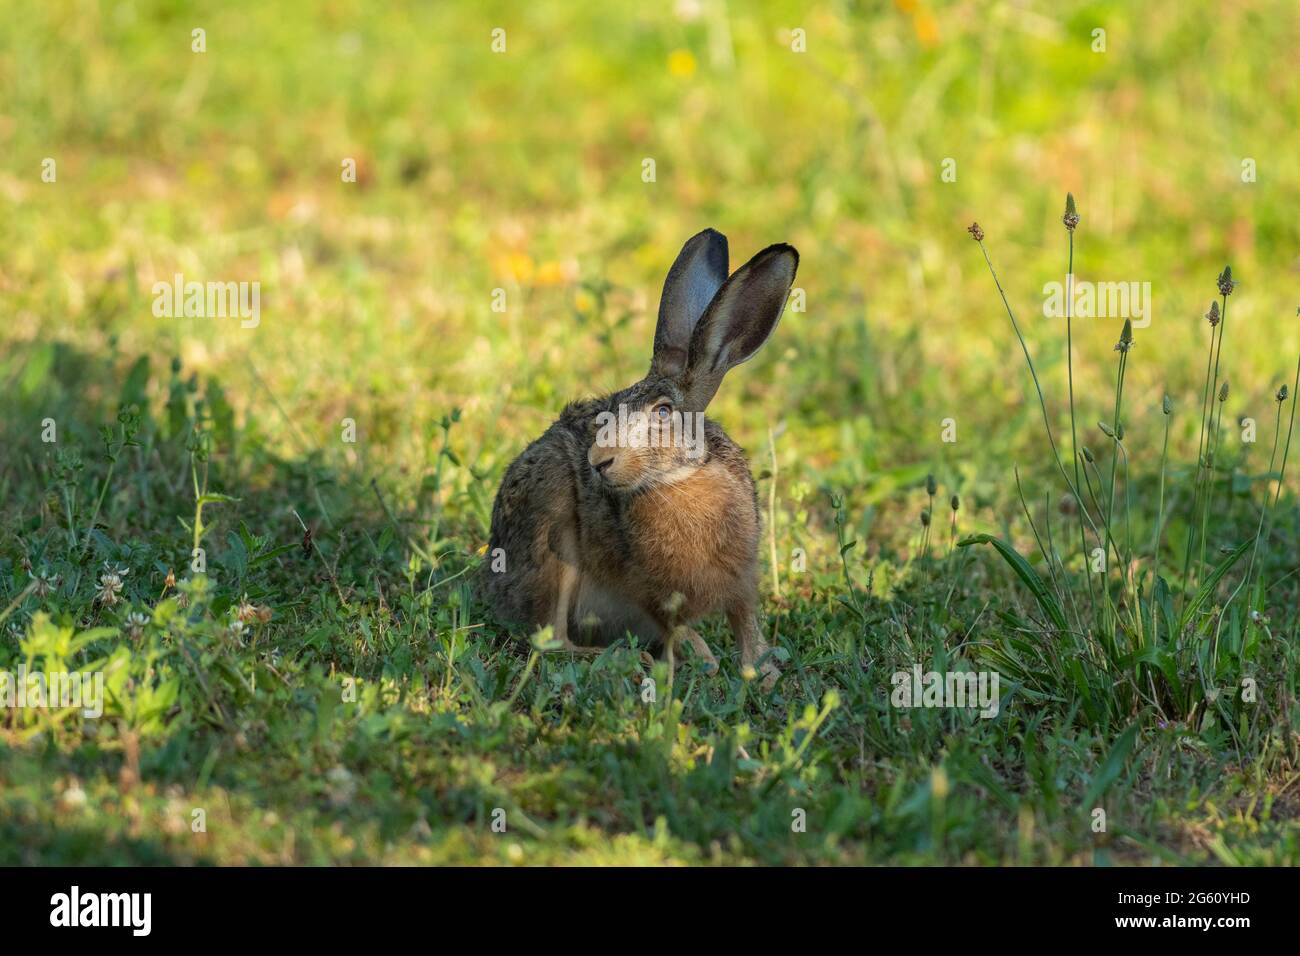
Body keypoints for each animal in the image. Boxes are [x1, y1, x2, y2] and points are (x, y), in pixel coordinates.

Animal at [484, 228, 798, 689]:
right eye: (608, 412)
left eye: (663, 413)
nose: (598, 460)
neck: (677, 479)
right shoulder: (648, 591)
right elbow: (676, 627)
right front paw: (704, 659)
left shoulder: (741, 580)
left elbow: (746, 626)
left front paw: (763, 671)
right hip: (553, 536)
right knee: (553, 640)